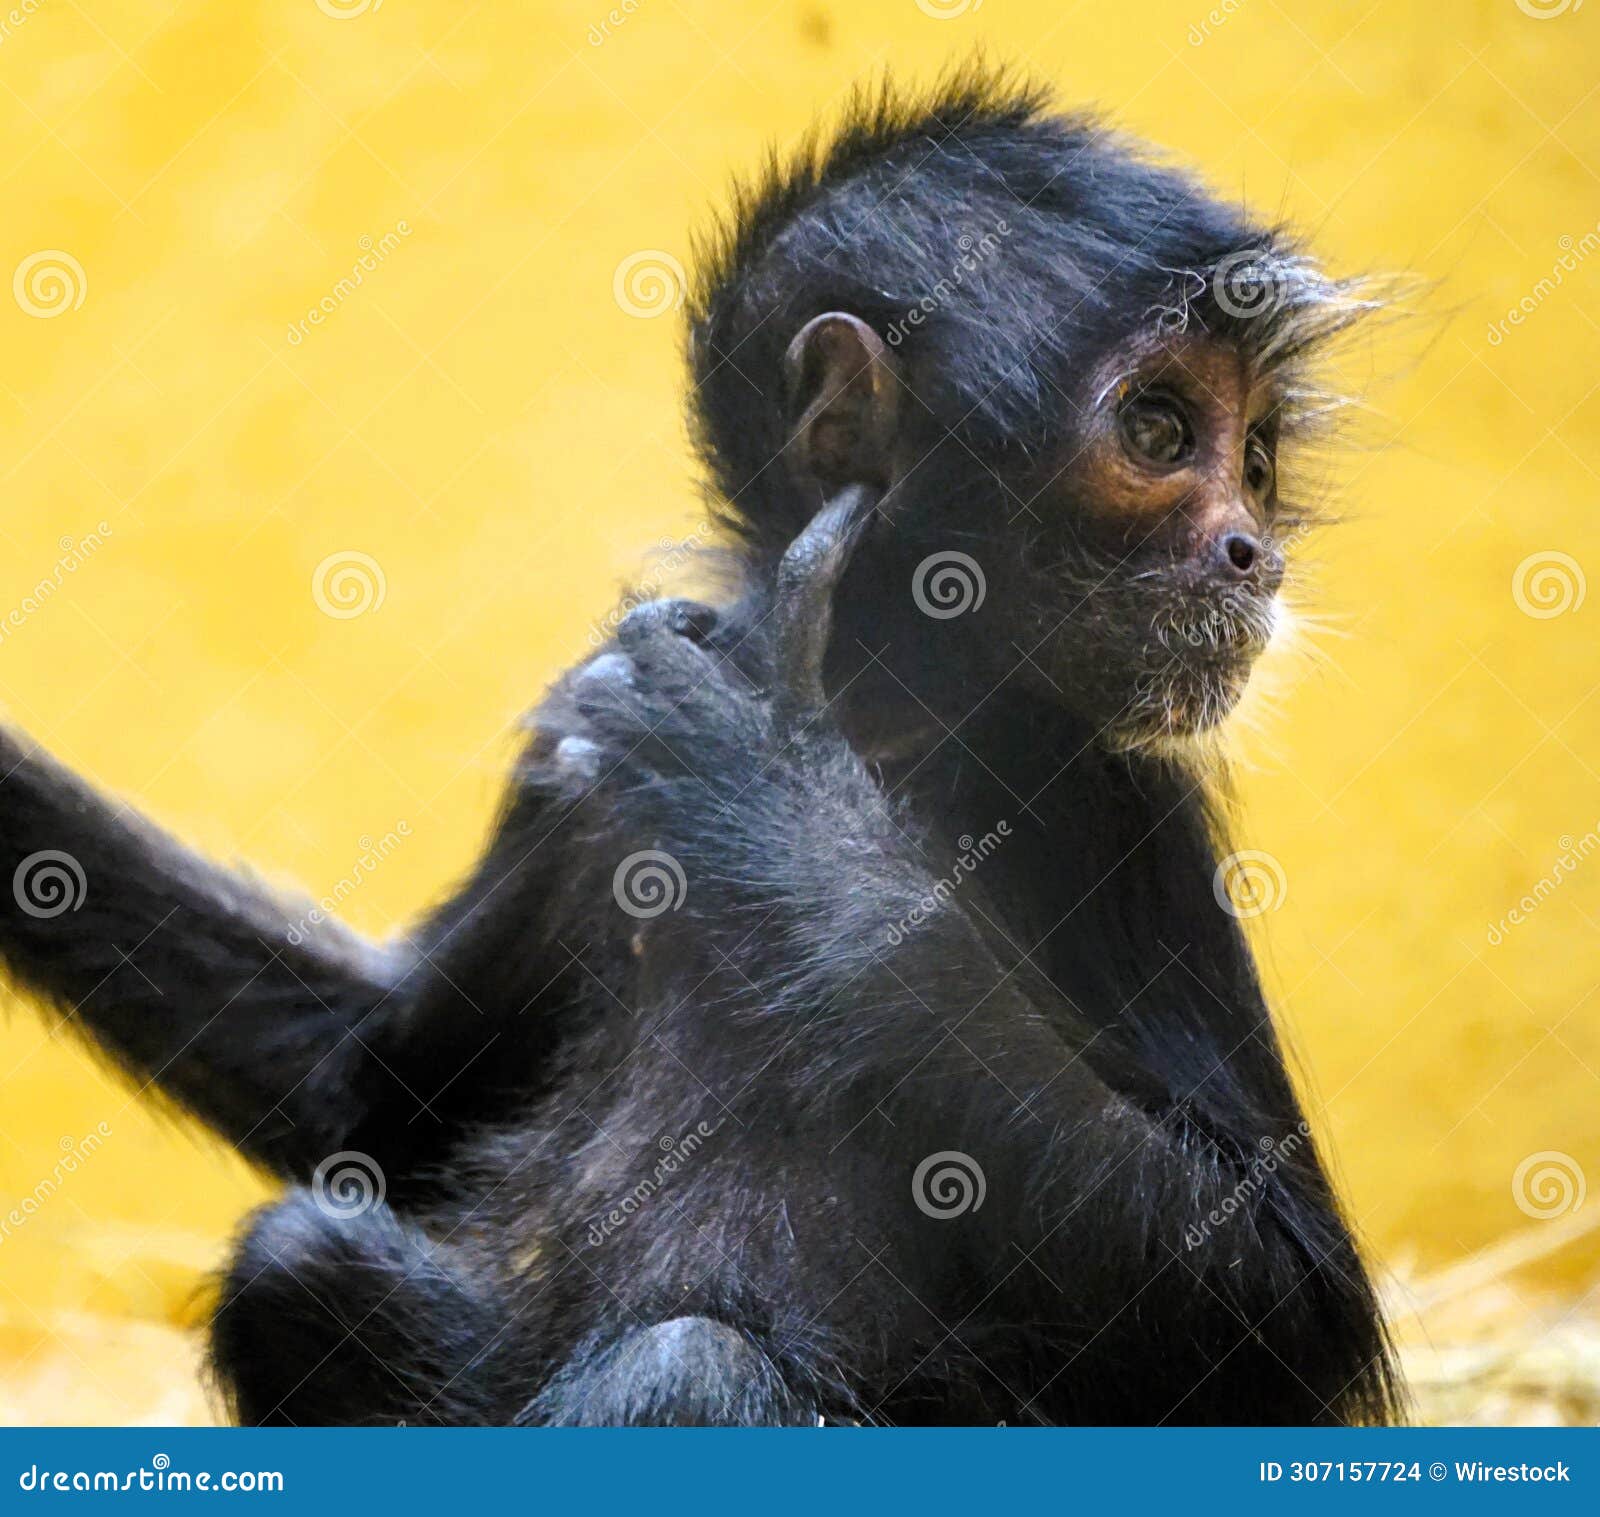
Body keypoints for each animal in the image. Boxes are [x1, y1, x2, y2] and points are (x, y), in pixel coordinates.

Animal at [0, 70, 1399, 1426]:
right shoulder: (574, 739)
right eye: (1160, 433)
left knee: (686, 1365)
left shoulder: (1106, 793)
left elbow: (1278, 1305)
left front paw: (771, 809)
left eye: (1255, 459)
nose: (1254, 553)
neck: (882, 713)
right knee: (299, 1266)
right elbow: (366, 1094)